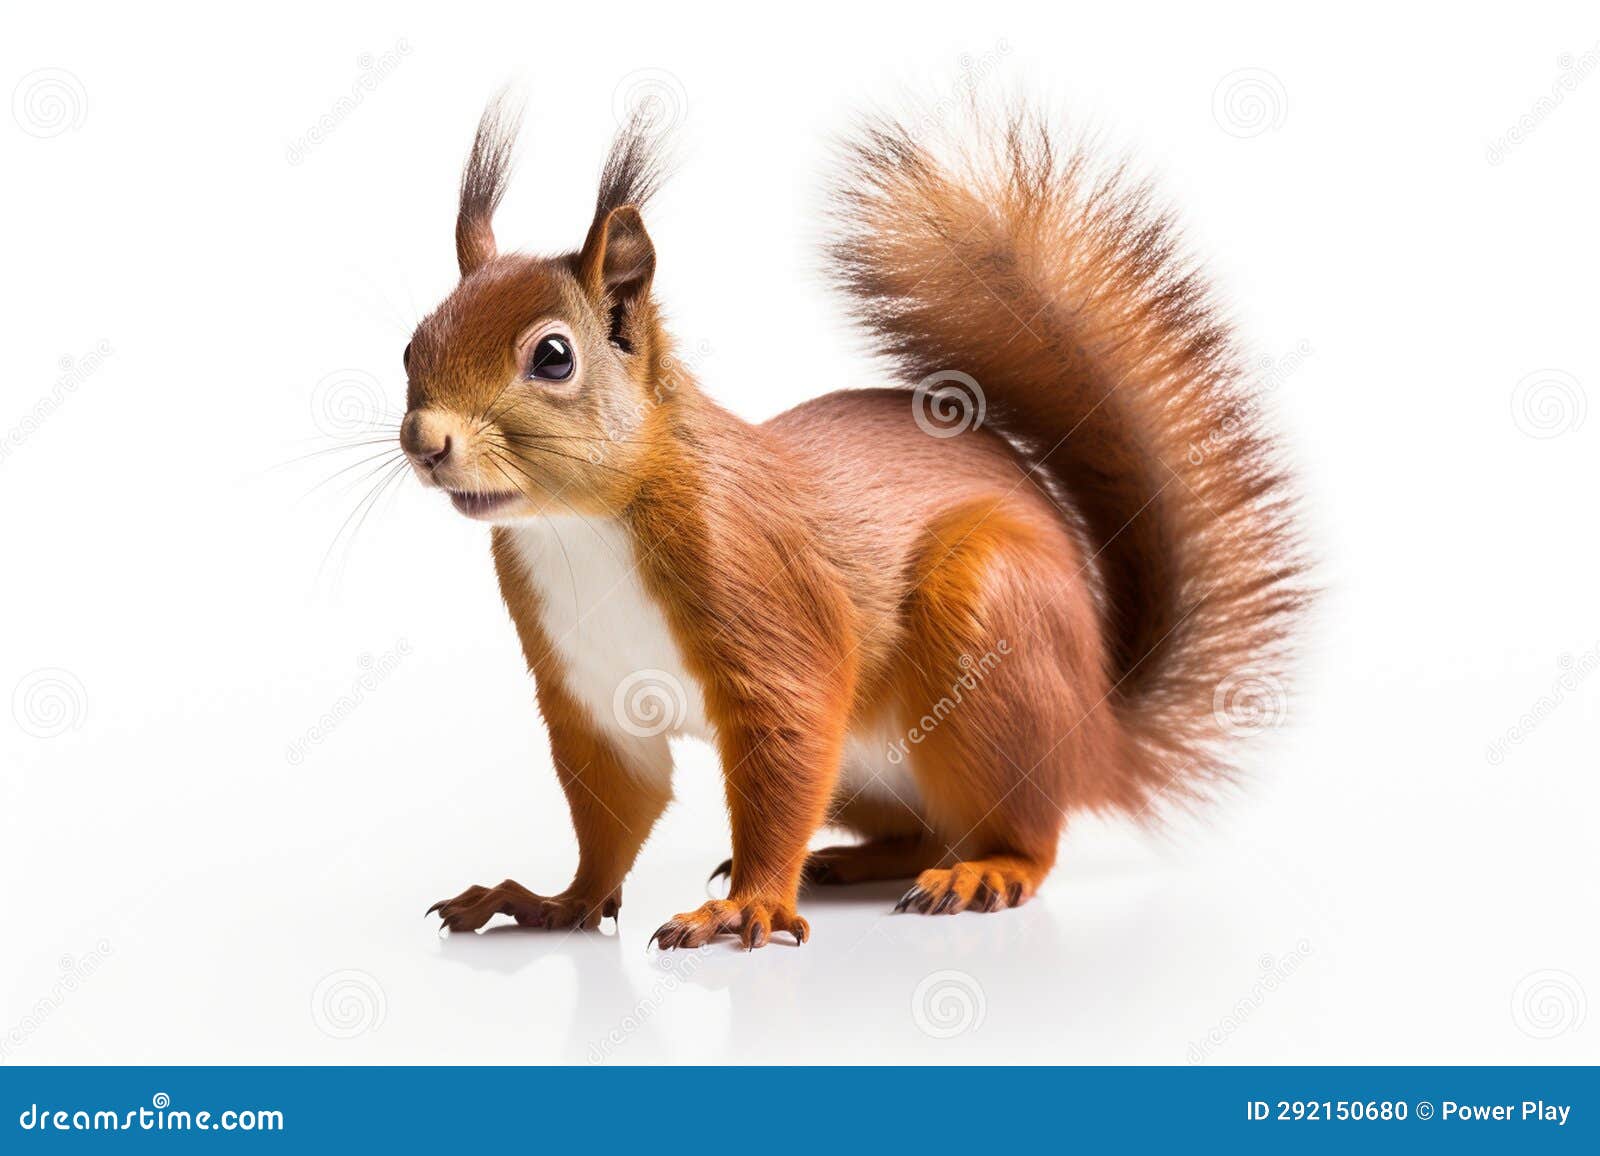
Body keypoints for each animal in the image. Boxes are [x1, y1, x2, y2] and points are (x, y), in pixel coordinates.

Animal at [408, 94, 1307, 949]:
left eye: (553, 357)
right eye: (413, 345)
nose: (425, 441)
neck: (581, 526)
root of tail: (1097, 732)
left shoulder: (764, 602)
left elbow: (786, 750)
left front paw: (747, 907)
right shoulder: (589, 693)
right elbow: (615, 810)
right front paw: (557, 901)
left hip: (990, 637)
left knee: (1024, 833)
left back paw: (984, 872)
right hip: (874, 770)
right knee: (927, 830)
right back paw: (850, 861)